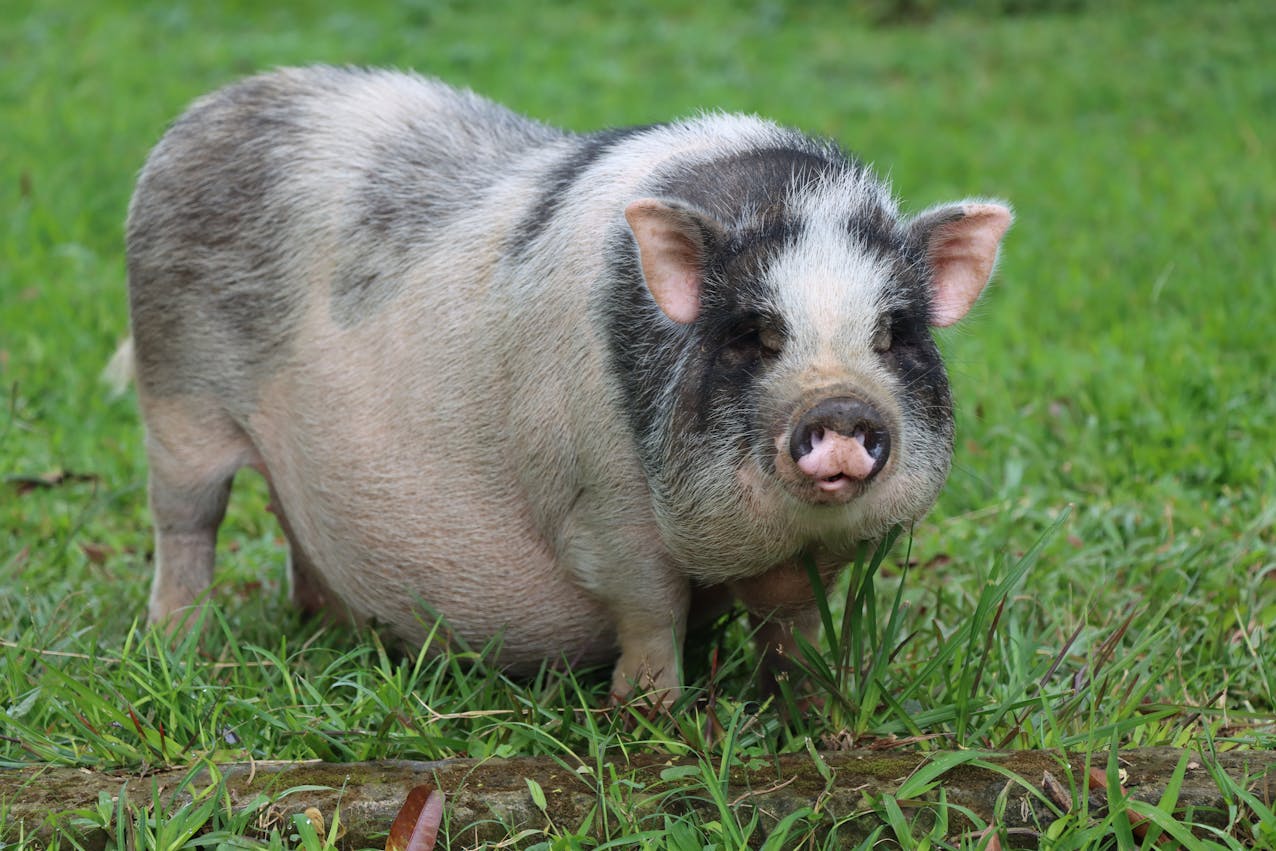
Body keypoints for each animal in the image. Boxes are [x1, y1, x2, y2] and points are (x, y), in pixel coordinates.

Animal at [126, 66, 1010, 702]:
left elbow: (795, 624)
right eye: (752, 335)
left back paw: (322, 629)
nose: (840, 405)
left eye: (895, 332)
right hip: (176, 394)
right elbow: (652, 608)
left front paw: (809, 713)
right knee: (186, 519)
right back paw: (179, 644)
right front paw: (652, 716)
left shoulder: (812, 559)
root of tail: (210, 107)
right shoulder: (602, 497)